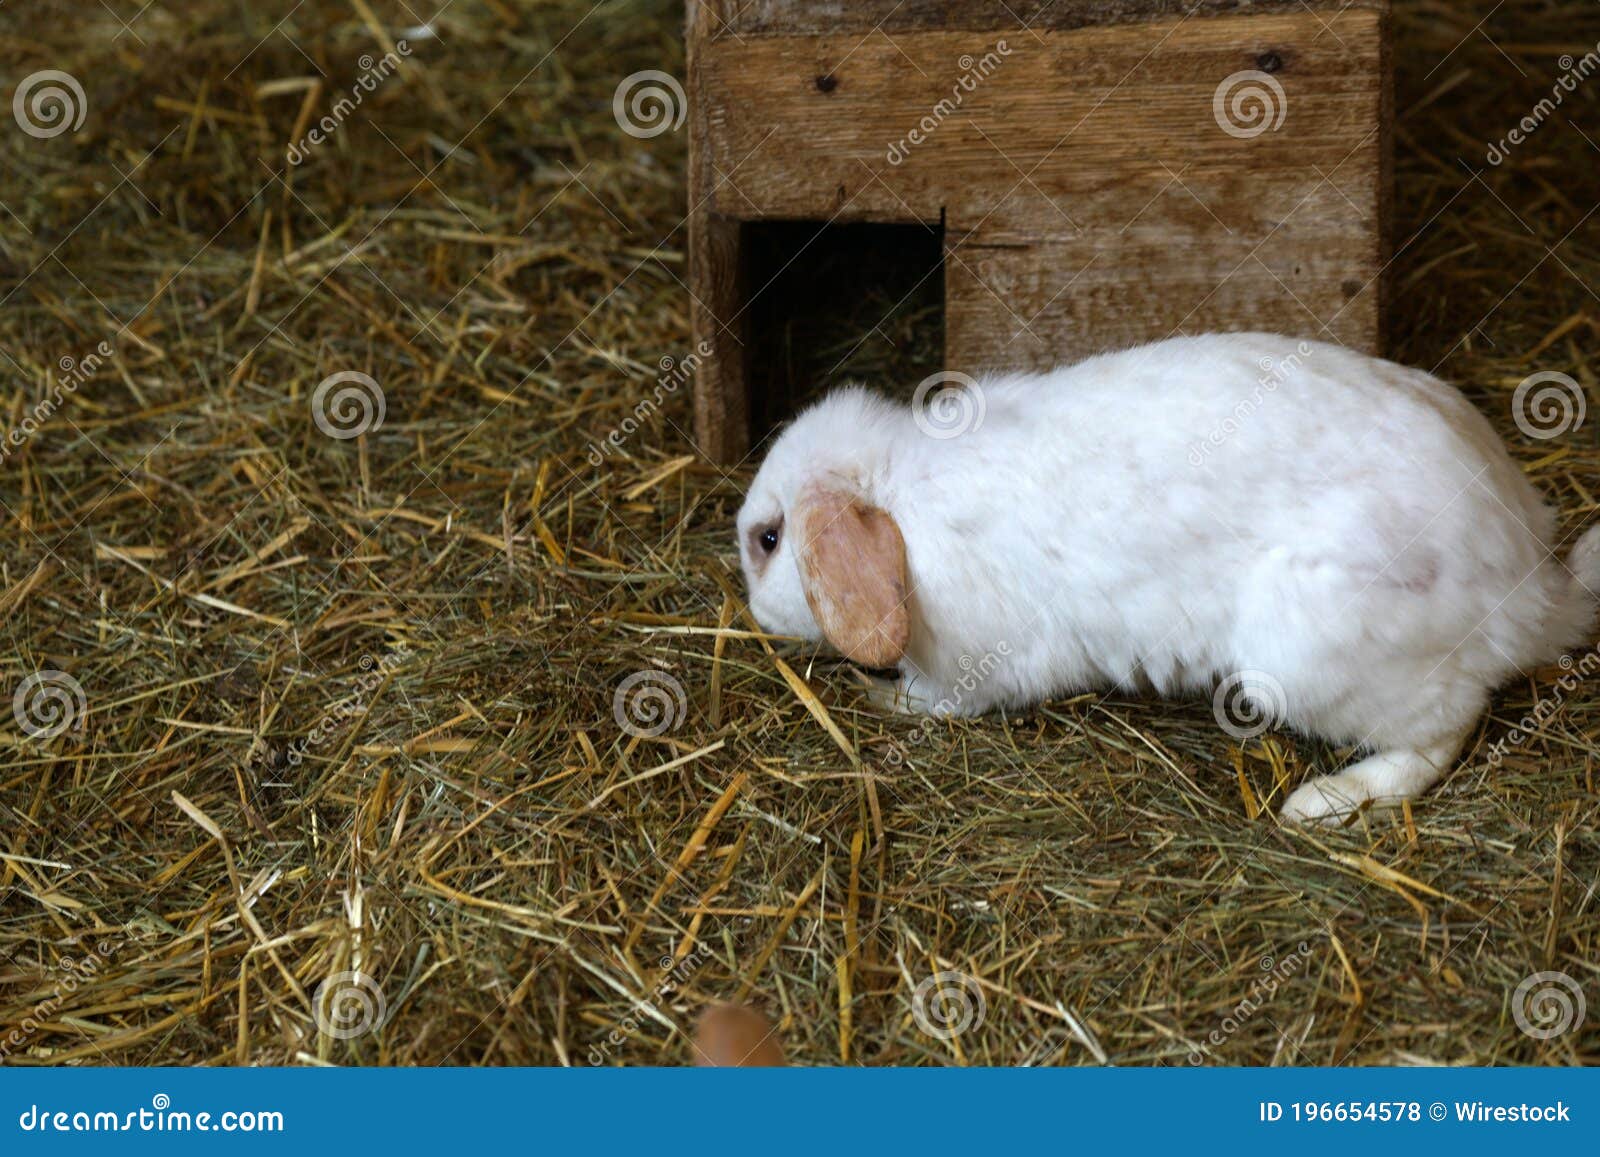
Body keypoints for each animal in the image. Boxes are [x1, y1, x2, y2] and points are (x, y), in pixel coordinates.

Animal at [735, 332, 1600, 824]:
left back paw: (1323, 803)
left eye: (769, 539)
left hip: (1318, 657)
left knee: (1443, 731)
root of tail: (1530, 590)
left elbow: (936, 703)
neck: (899, 500)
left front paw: (876, 696)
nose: (752, 610)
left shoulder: (974, 668)